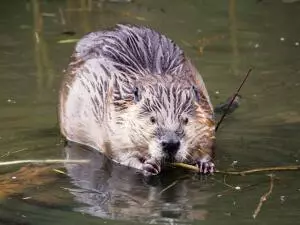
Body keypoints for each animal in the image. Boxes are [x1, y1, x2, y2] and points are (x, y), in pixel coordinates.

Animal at [59, 24, 216, 176]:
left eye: (186, 120)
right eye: (152, 119)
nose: (170, 144)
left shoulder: (206, 117)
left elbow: (207, 145)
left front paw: (206, 164)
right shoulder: (113, 123)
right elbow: (119, 154)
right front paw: (148, 165)